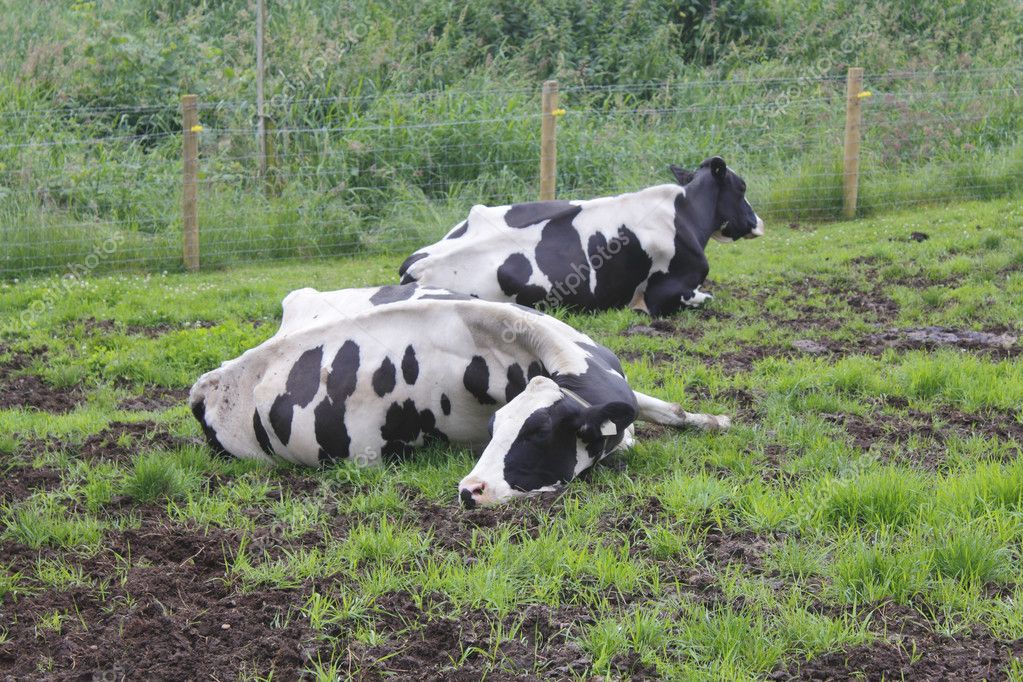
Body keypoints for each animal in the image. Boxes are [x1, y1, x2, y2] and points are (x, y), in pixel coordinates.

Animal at [189, 284, 731, 506]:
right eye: (494, 431)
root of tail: (206, 383)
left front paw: (716, 421)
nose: (471, 490)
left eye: (538, 433)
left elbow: (665, 409)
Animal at [398, 157, 764, 317]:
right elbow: (708, 298)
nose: (758, 222)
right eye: (742, 185)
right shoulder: (665, 295)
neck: (685, 215)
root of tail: (415, 268)